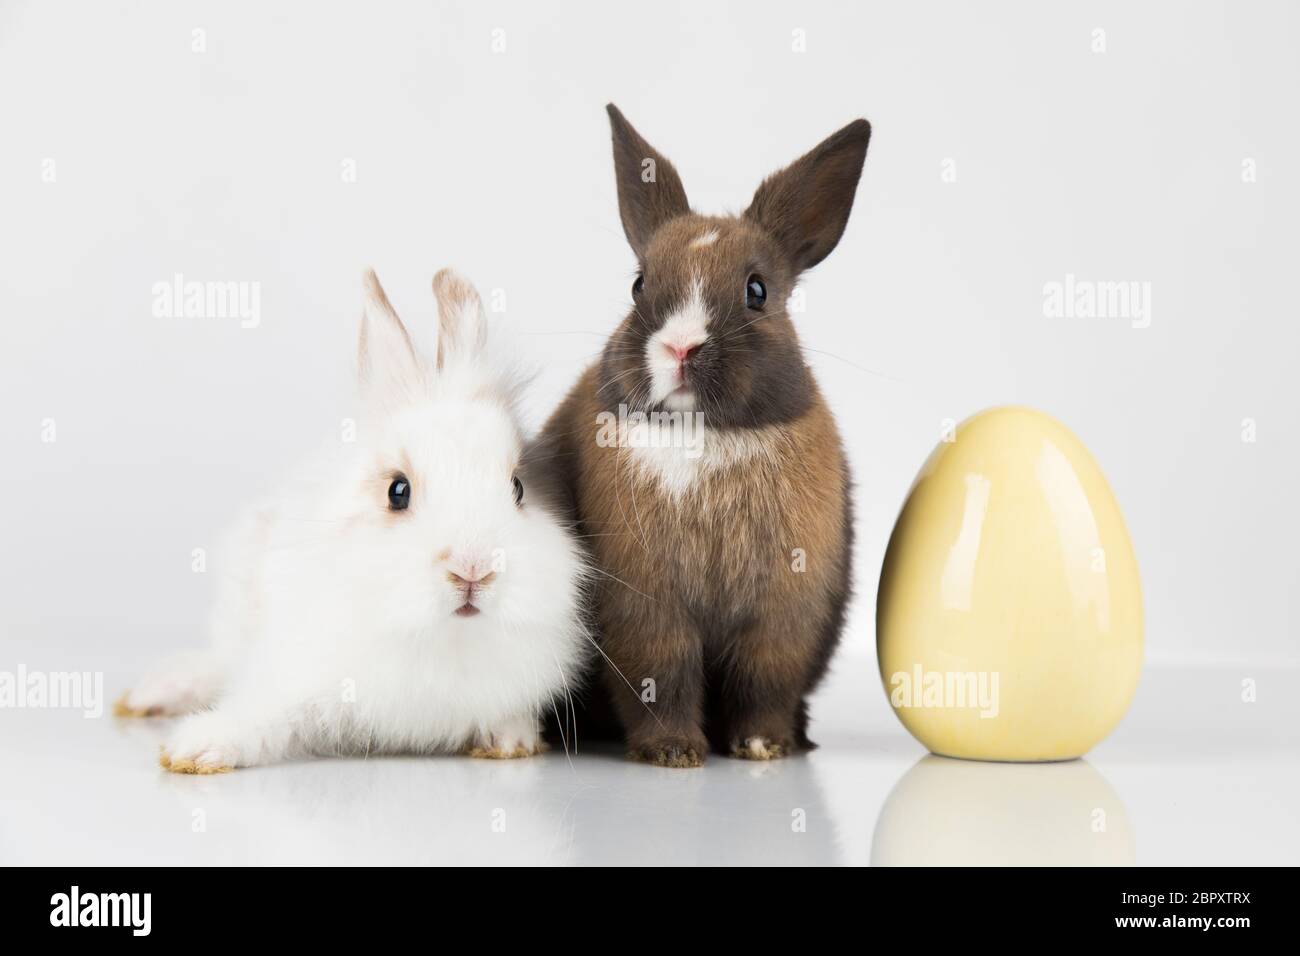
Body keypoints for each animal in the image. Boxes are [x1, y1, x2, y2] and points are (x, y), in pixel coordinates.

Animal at [117, 268, 591, 772]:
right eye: (397, 491)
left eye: (518, 488)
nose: (473, 570)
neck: (439, 639)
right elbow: (264, 714)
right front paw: (195, 748)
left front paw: (512, 741)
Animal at [534, 105, 870, 767]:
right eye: (639, 284)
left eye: (757, 290)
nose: (680, 347)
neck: (706, 438)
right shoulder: (644, 606)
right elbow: (661, 676)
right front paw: (673, 753)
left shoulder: (784, 612)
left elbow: (765, 682)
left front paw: (763, 746)